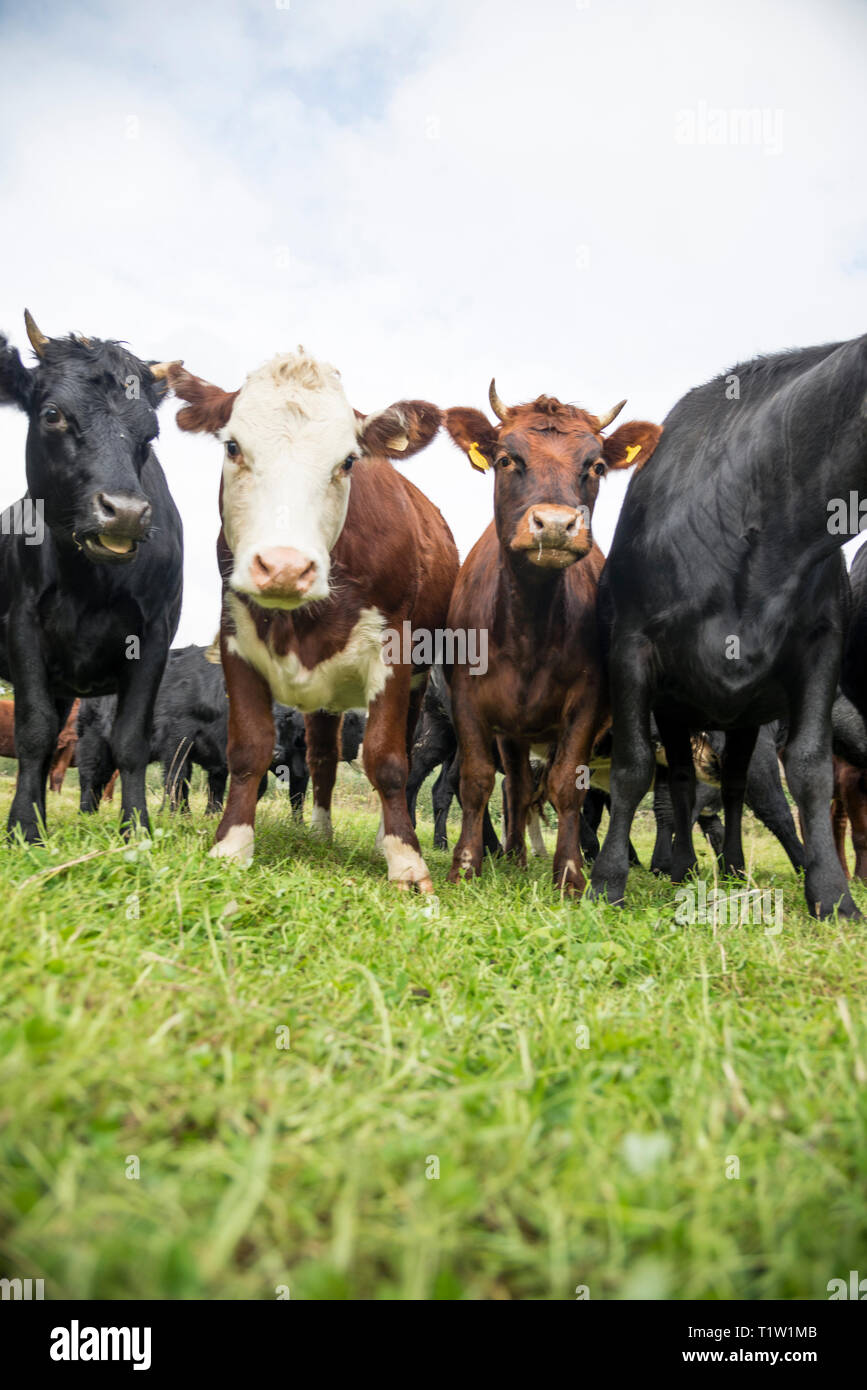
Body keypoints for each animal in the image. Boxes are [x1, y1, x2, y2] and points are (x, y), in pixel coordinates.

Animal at [0, 312, 183, 841]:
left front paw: (136, 828)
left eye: (150, 434)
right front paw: (23, 828)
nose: (125, 512)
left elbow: (130, 741)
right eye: (52, 414)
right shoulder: (22, 623)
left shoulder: (154, 634)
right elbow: (33, 731)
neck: (90, 581)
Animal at [167, 351, 459, 889]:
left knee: (403, 757)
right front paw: (232, 844)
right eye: (233, 447)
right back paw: (321, 832)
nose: (285, 566)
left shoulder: (393, 654)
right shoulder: (236, 642)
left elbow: (387, 759)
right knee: (322, 756)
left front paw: (405, 859)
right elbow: (249, 749)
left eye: (347, 461)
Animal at [442, 381, 661, 893]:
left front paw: (570, 874)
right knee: (515, 784)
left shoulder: (587, 703)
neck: (529, 626)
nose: (557, 526)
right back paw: (515, 858)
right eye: (506, 459)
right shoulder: (467, 698)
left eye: (596, 466)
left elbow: (567, 785)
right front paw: (466, 866)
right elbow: (477, 779)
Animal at [588, 336, 867, 919]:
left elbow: (810, 769)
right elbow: (632, 767)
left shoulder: (821, 648)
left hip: (744, 719)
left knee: (735, 788)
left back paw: (734, 867)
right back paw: (682, 867)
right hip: (678, 709)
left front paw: (833, 895)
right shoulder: (632, 648)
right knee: (682, 785)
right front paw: (606, 882)